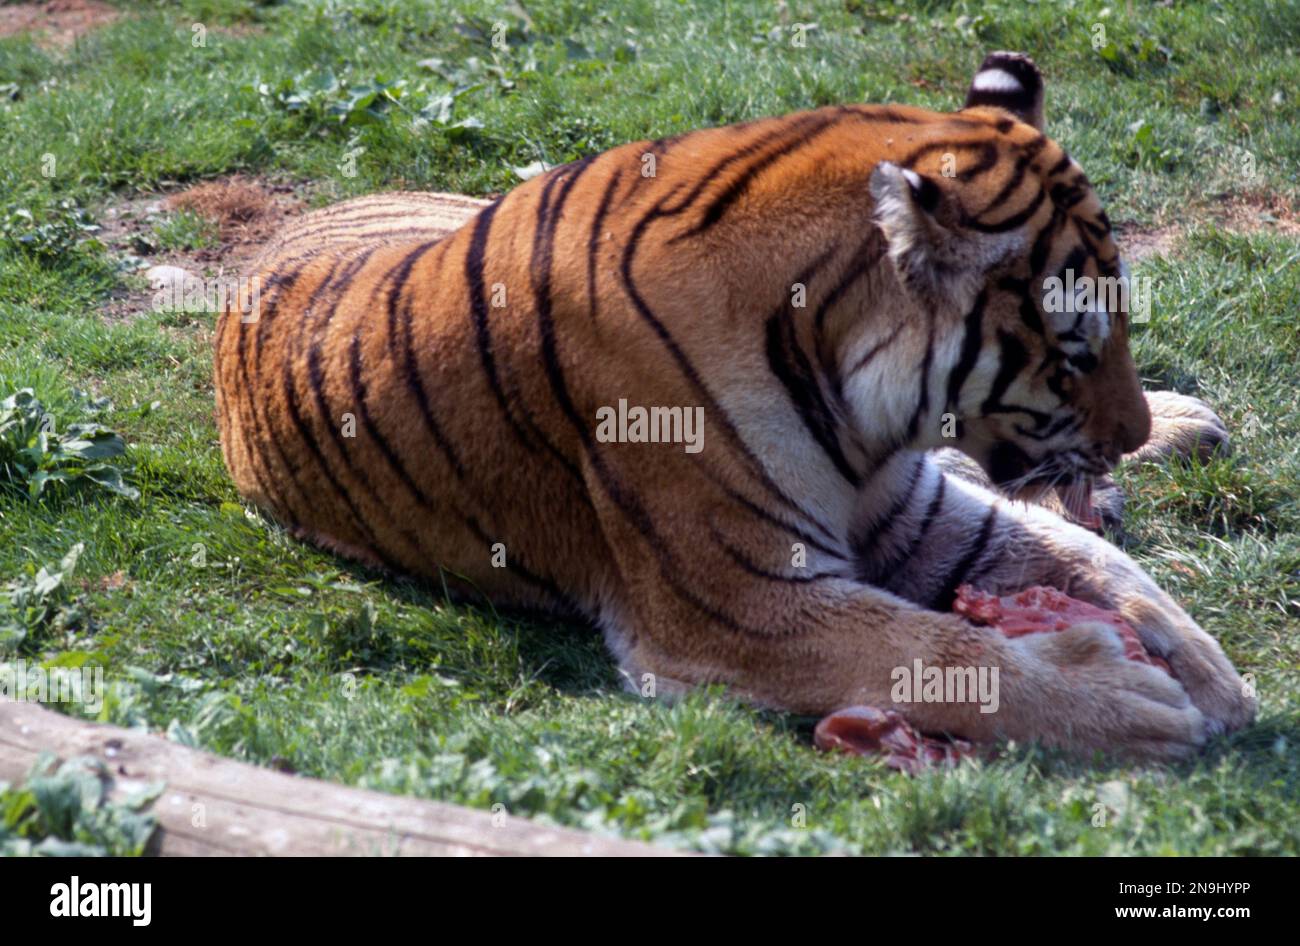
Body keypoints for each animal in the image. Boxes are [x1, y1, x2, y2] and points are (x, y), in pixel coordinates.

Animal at [215, 52, 1254, 760]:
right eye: (1075, 352)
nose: (1128, 433)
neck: (855, 401)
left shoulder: (916, 518)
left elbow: (1087, 561)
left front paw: (1214, 676)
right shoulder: (741, 606)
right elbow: (938, 647)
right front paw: (1131, 704)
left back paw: (1188, 427)